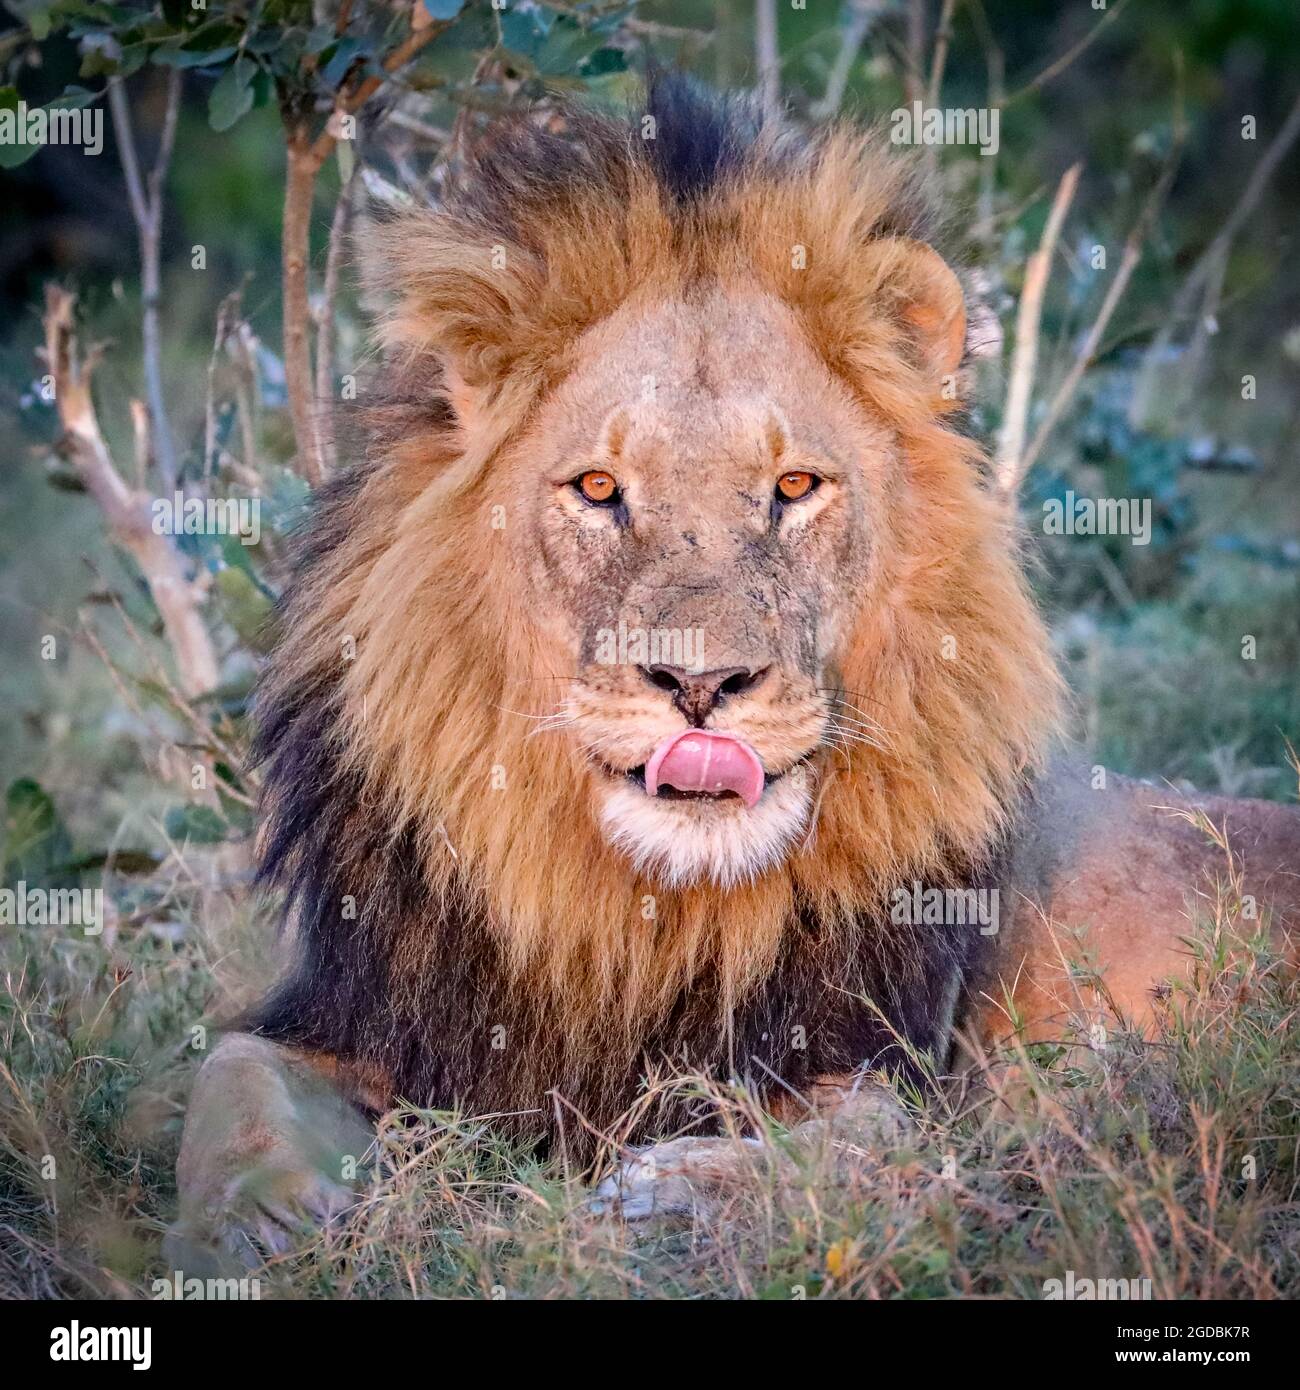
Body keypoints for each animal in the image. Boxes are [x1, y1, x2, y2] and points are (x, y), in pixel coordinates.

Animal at [169, 77, 1300, 1261]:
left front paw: (672, 1187)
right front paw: (248, 1226)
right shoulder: (361, 1010)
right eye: (599, 488)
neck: (644, 916)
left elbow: (868, 1140)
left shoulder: (896, 1064)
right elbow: (228, 1074)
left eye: (795, 485)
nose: (702, 687)